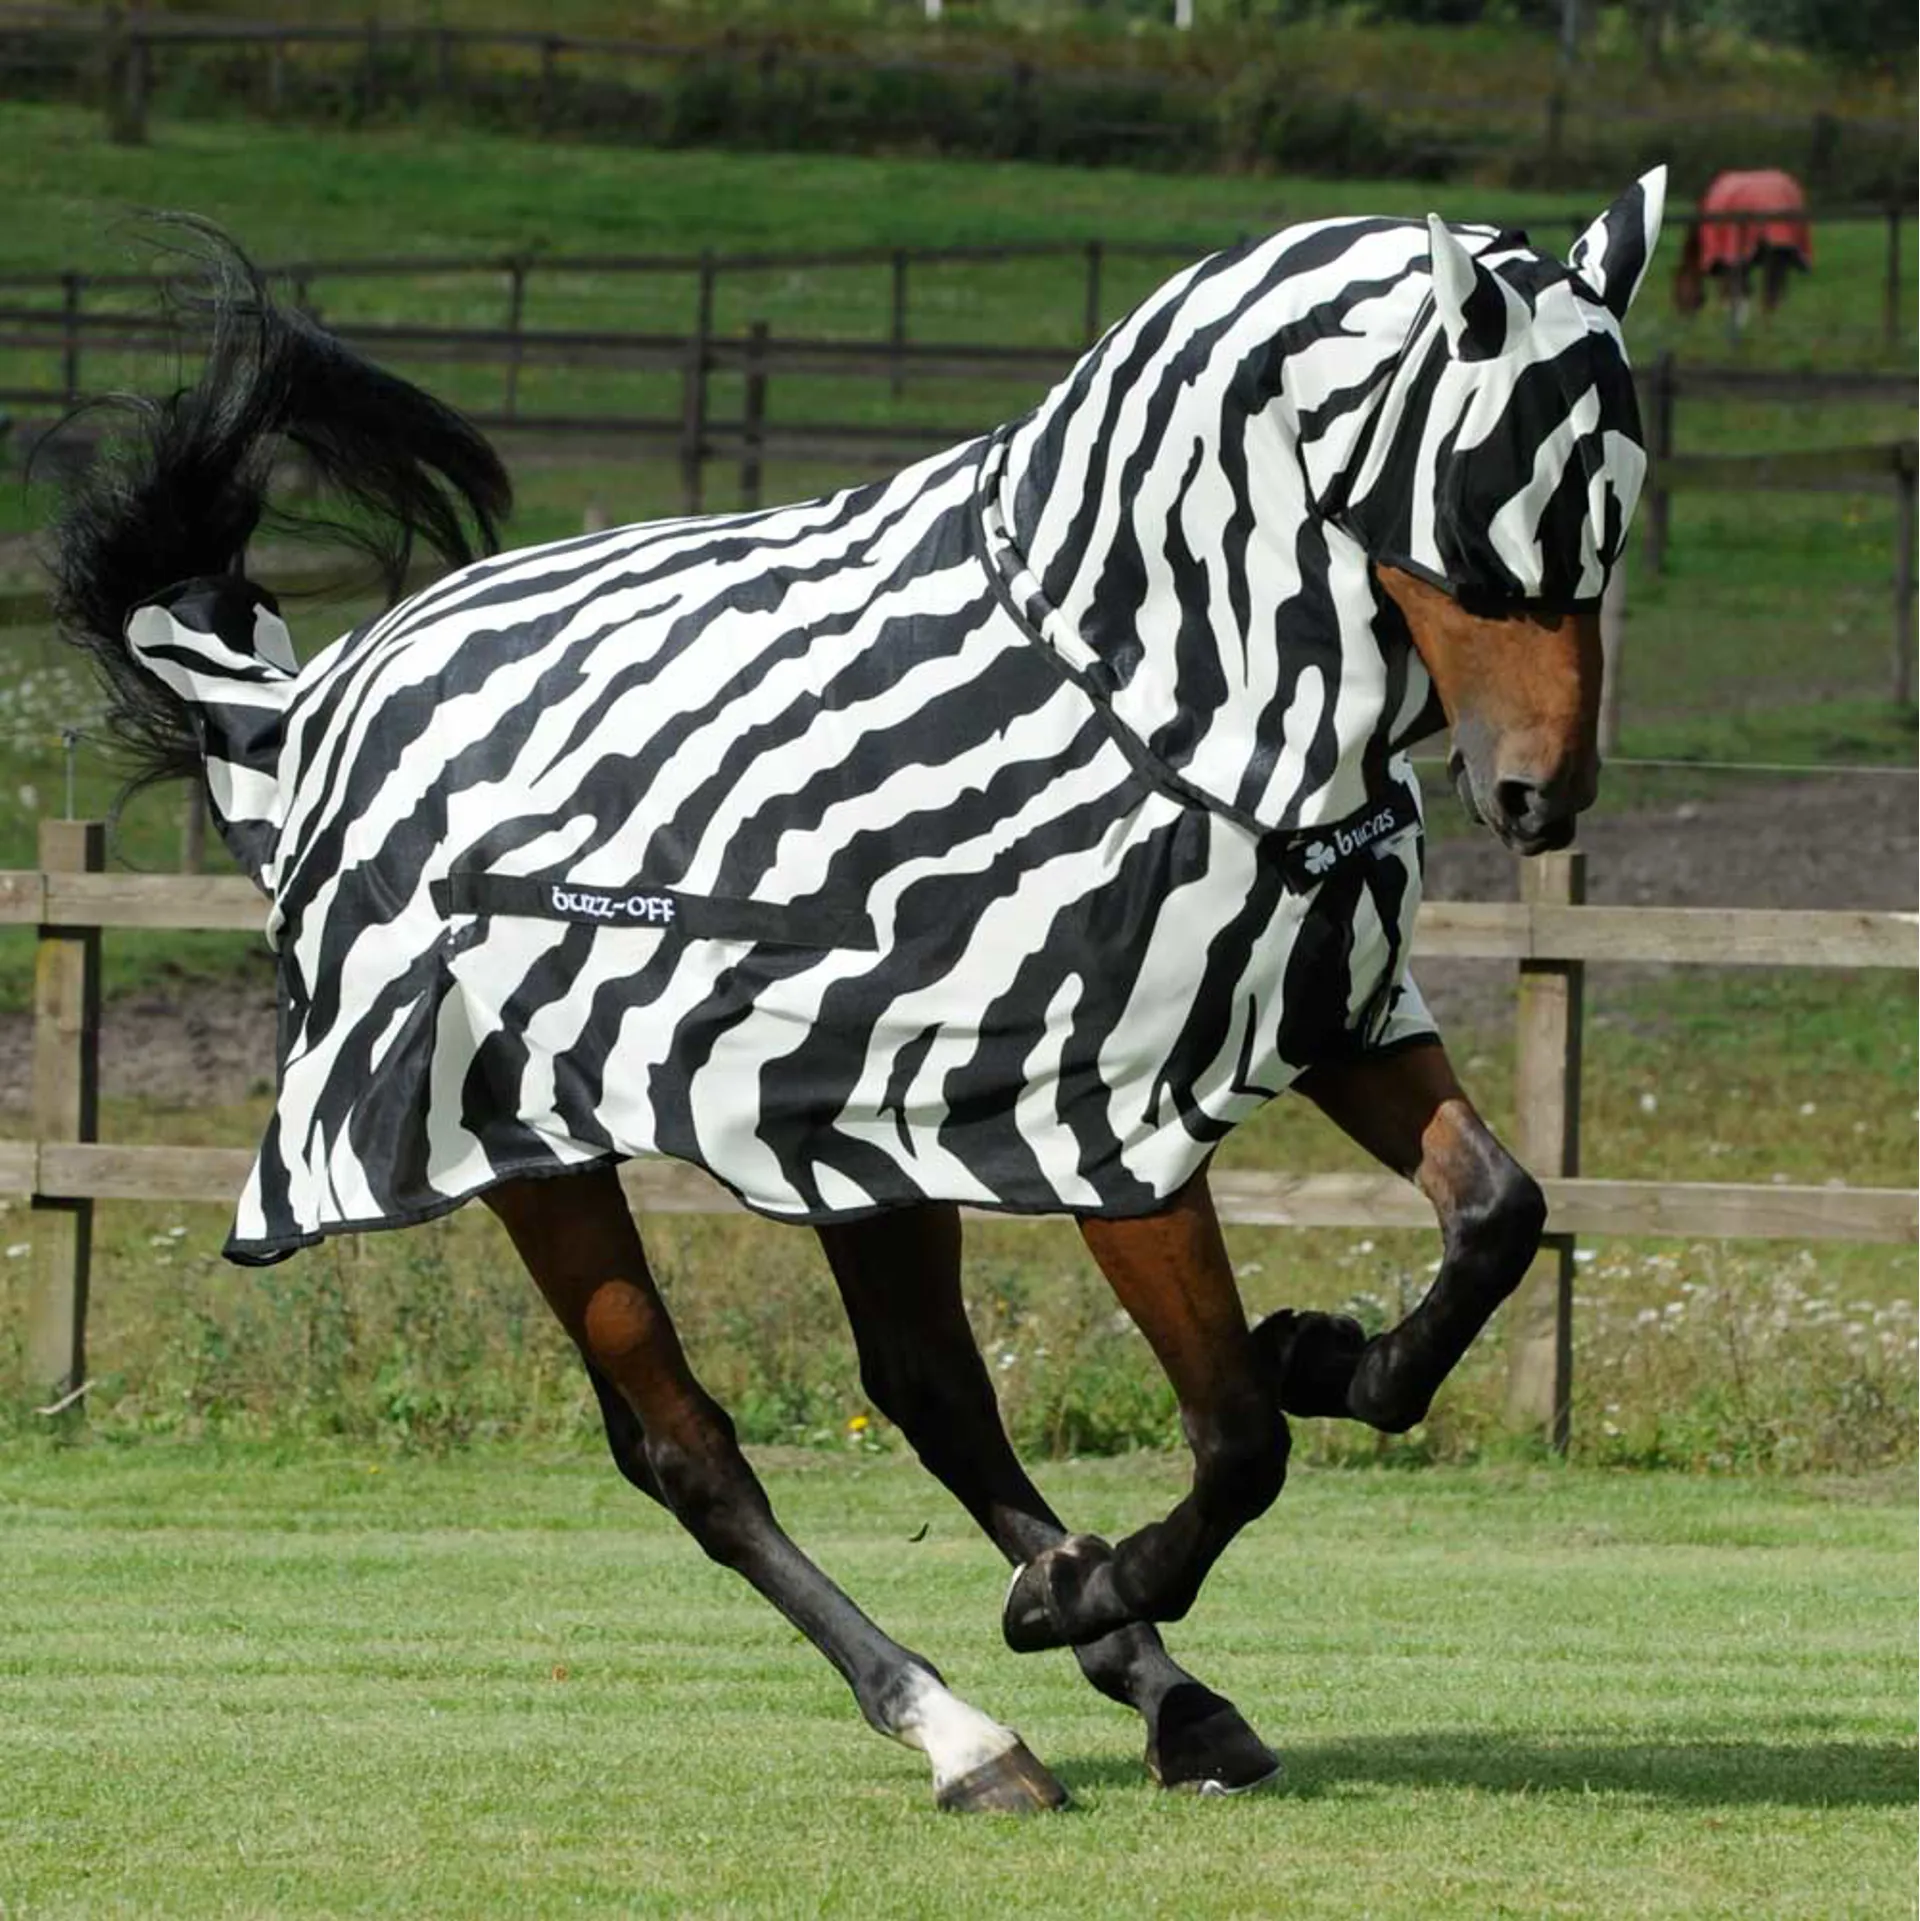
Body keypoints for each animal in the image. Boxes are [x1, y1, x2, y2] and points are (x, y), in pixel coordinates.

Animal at [54, 169, 1663, 1811]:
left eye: (1613, 519)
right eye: (1488, 516)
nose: (1540, 797)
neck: (1142, 697)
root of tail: (309, 707)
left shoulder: (1333, 1017)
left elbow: (1498, 1215)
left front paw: (1329, 1363)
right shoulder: (1113, 1120)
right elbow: (1237, 1437)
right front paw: (1100, 1567)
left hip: (851, 1137)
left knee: (931, 1392)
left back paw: (1151, 1684)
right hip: (523, 1152)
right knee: (690, 1449)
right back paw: (967, 1724)